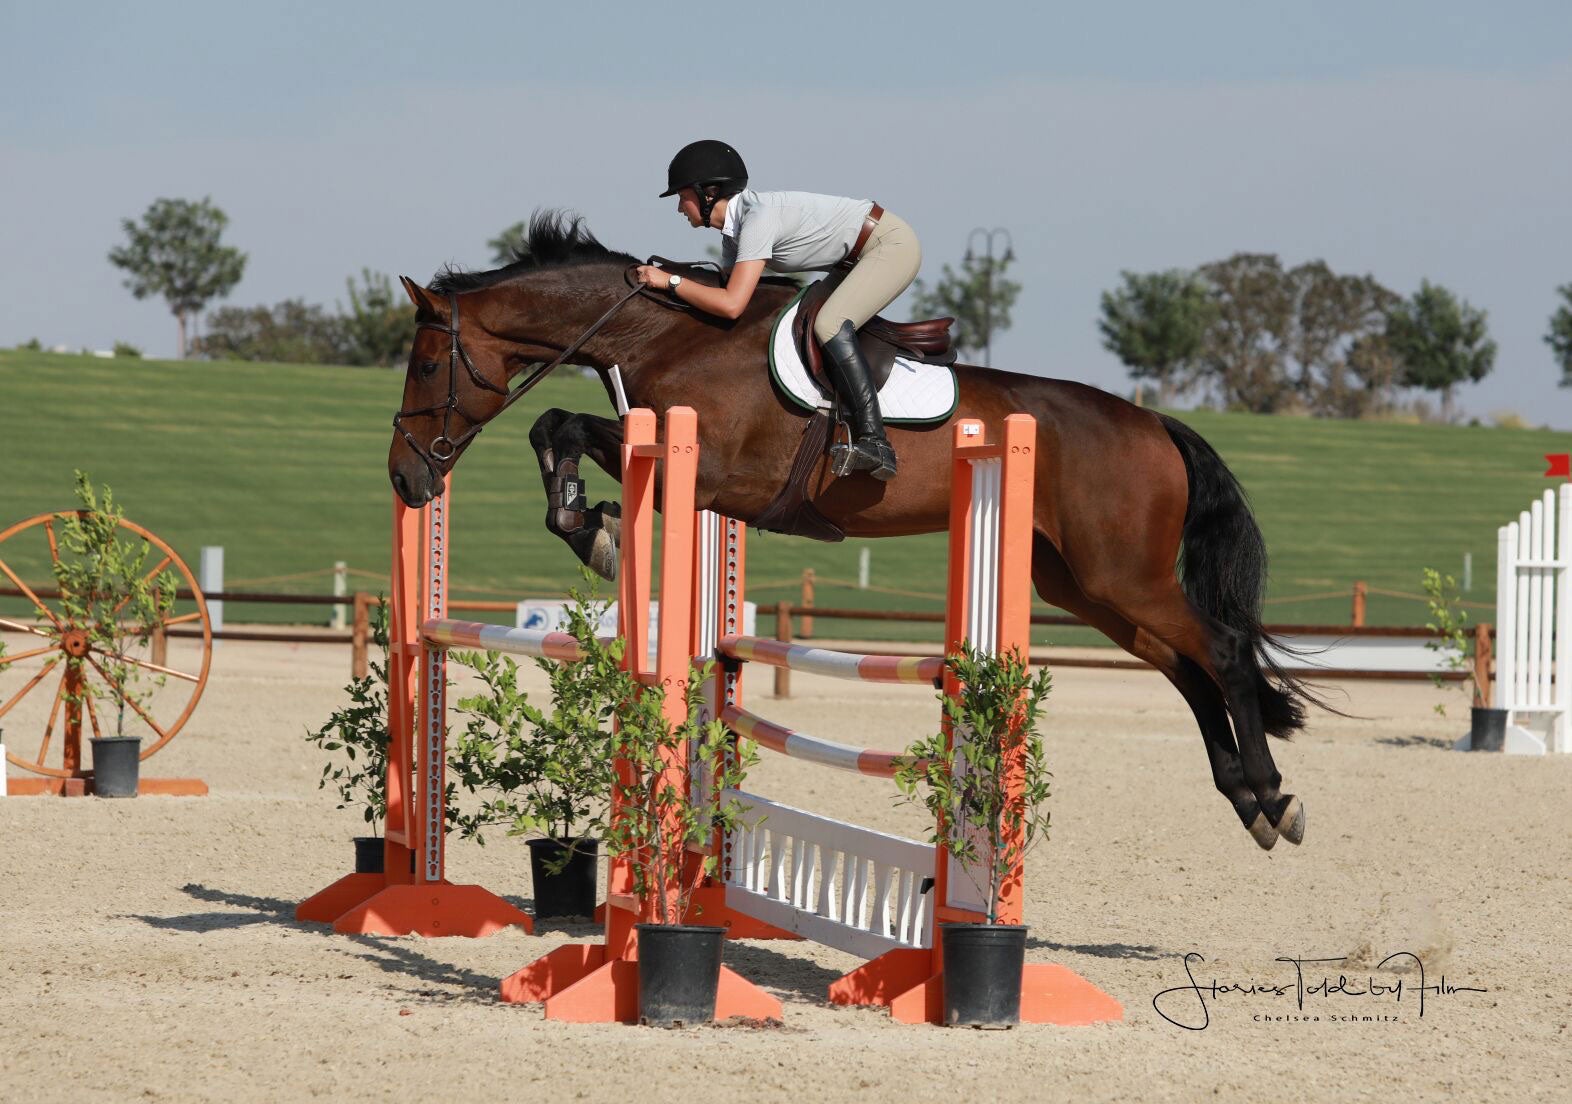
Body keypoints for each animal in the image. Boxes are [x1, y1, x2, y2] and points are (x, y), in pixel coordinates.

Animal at [387, 211, 1313, 851]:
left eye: (428, 364)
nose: (405, 478)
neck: (672, 332)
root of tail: (1155, 424)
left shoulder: (716, 473)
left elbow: (567, 424)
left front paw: (594, 525)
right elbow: (555, 425)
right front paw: (588, 521)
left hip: (1125, 576)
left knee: (1222, 651)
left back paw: (1274, 795)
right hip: (1085, 585)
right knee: (1186, 670)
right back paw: (1249, 802)